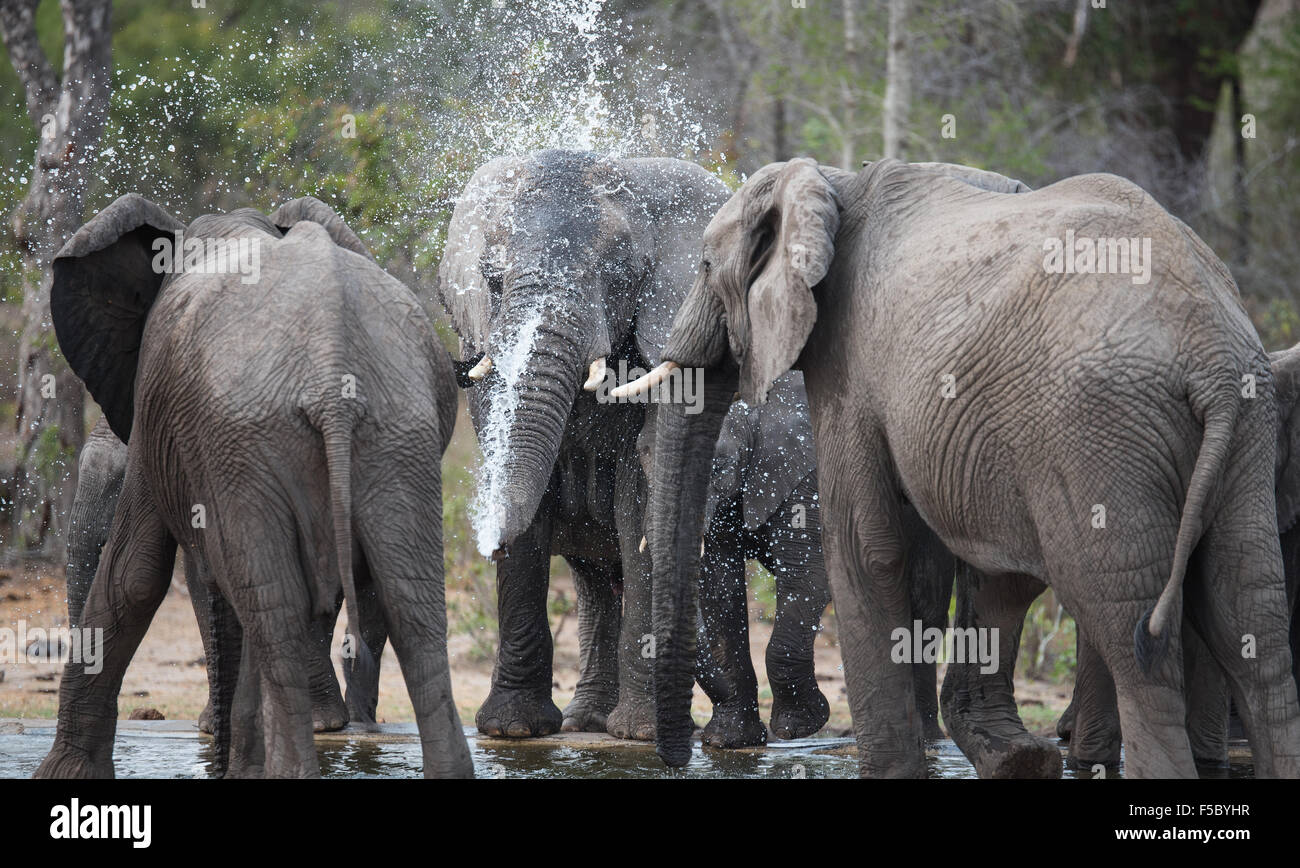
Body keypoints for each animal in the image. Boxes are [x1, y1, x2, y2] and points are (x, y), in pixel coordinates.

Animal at [623, 155, 1300, 777]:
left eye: (704, 266)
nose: (679, 760)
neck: (832, 182)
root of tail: (1213, 358)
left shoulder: (849, 362)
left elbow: (865, 550)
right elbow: (980, 564)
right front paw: (1012, 757)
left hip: (1100, 433)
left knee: (1134, 641)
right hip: (1244, 433)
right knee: (1254, 627)